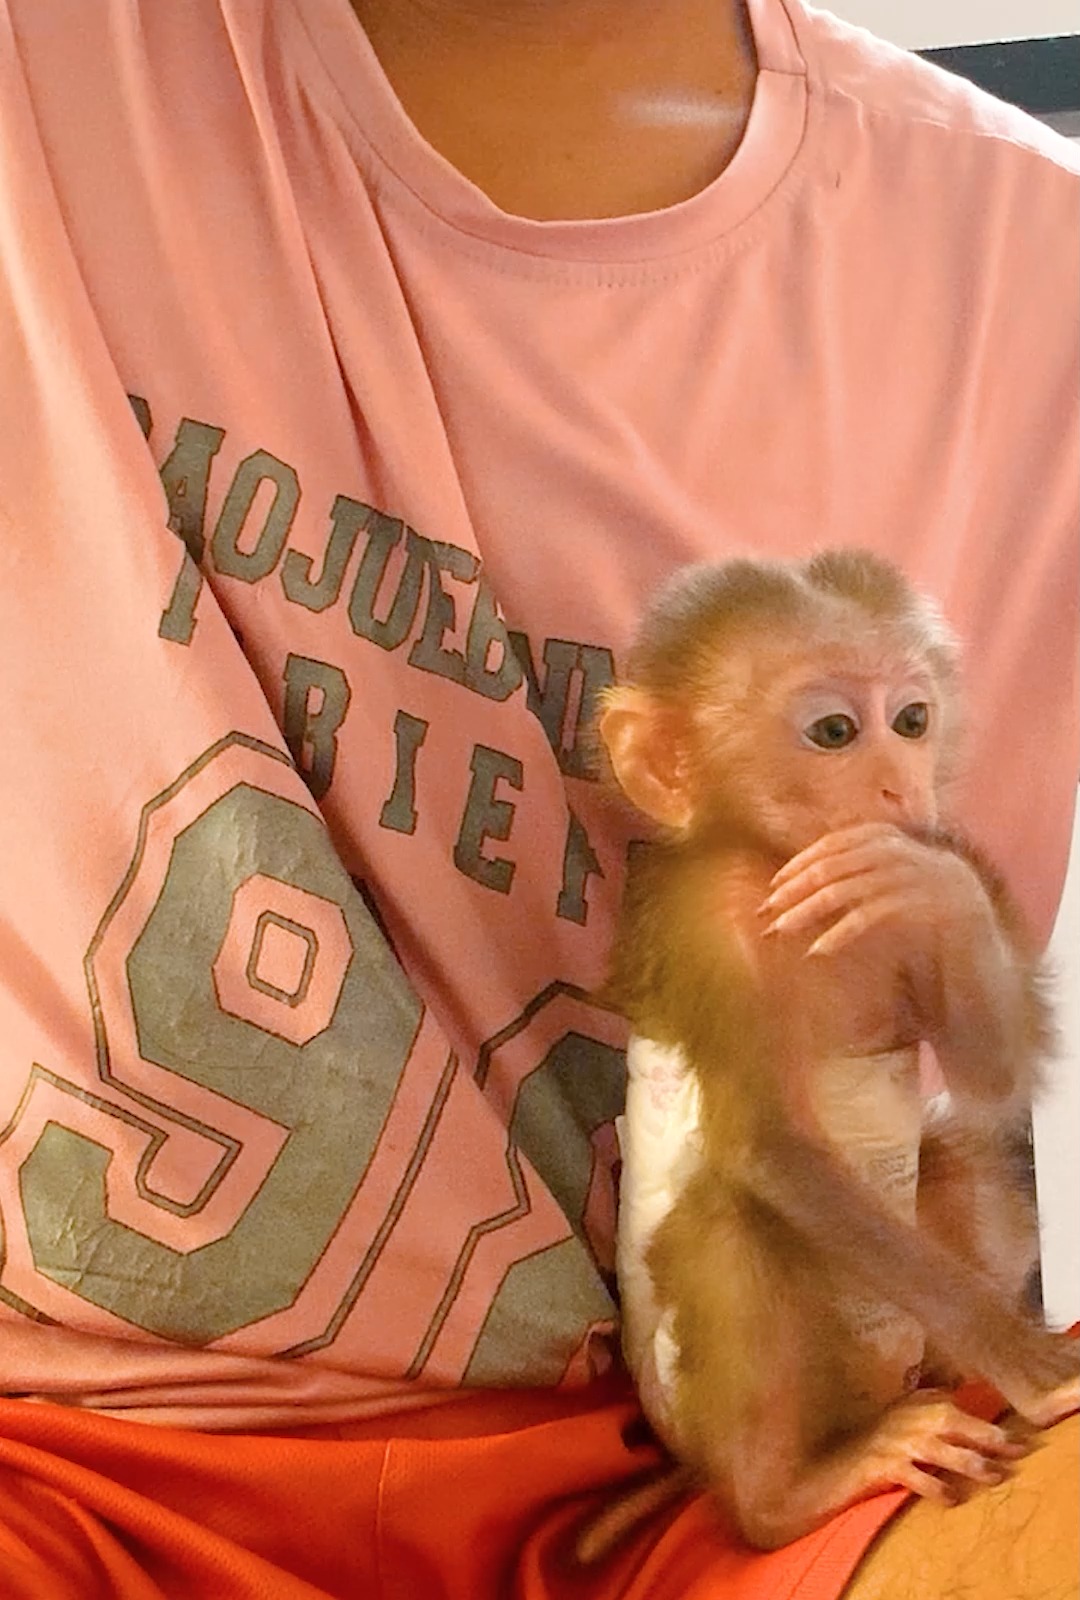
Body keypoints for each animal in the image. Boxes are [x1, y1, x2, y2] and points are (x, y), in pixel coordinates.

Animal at [577, 548, 1079, 1559]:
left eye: (913, 721)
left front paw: (938, 882)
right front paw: (1027, 1362)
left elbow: (994, 1076)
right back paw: (792, 1495)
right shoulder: (713, 932)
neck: (773, 856)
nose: (901, 787)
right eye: (836, 732)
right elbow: (772, 1153)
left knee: (953, 1163)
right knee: (734, 1220)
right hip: (704, 1406)